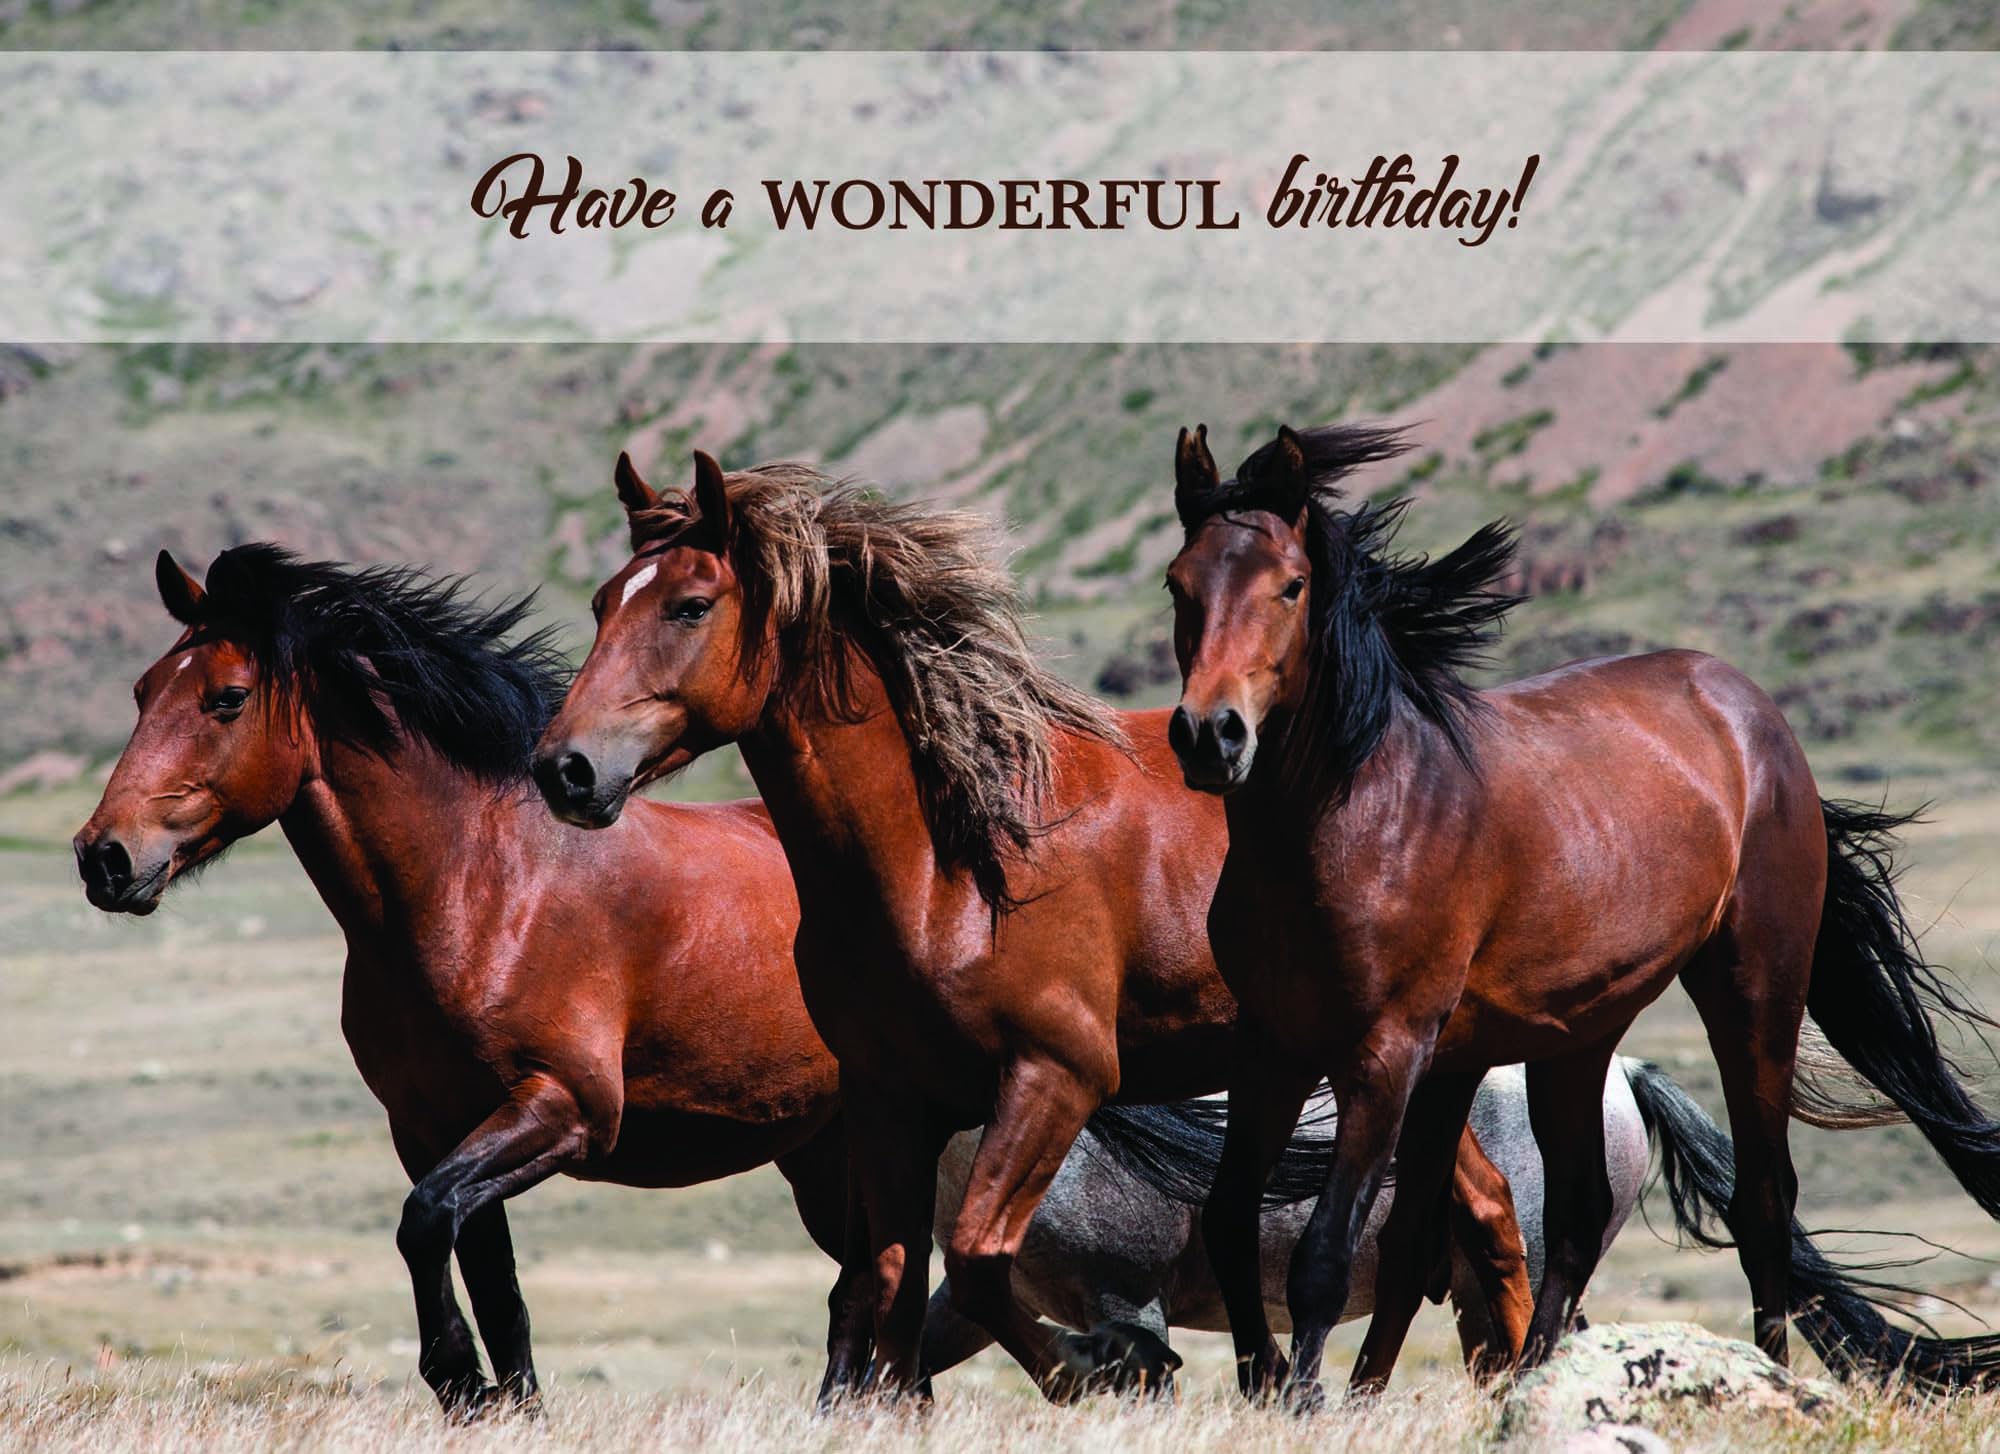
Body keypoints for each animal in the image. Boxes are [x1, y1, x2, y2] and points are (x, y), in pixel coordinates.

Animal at [71, 544, 853, 1416]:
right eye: (143, 691)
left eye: (228, 699)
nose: (104, 857)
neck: (482, 889)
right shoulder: (431, 1127)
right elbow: (490, 1279)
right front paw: (506, 1403)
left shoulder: (564, 1107)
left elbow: (425, 1223)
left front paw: (456, 1375)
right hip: (822, 1148)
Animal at [529, 451, 1540, 1400]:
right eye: (601, 604)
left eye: (691, 606)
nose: (564, 769)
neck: (950, 865)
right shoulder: (890, 1100)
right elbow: (889, 1285)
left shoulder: (1057, 1077)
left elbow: (978, 1263)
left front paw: (1109, 1363)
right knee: (1469, 1214)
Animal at [1163, 420, 2000, 1404]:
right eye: (1179, 583)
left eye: (1290, 586)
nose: (1210, 735)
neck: (1358, 811)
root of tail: (1754, 714)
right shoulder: (1277, 1047)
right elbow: (1241, 1223)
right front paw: (1278, 1387)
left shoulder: (1383, 1053)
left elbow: (1325, 1257)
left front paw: (1303, 1403)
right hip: (1572, 1037)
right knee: (1569, 1215)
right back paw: (1537, 1376)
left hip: (1754, 994)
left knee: (1762, 1202)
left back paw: (1764, 1372)